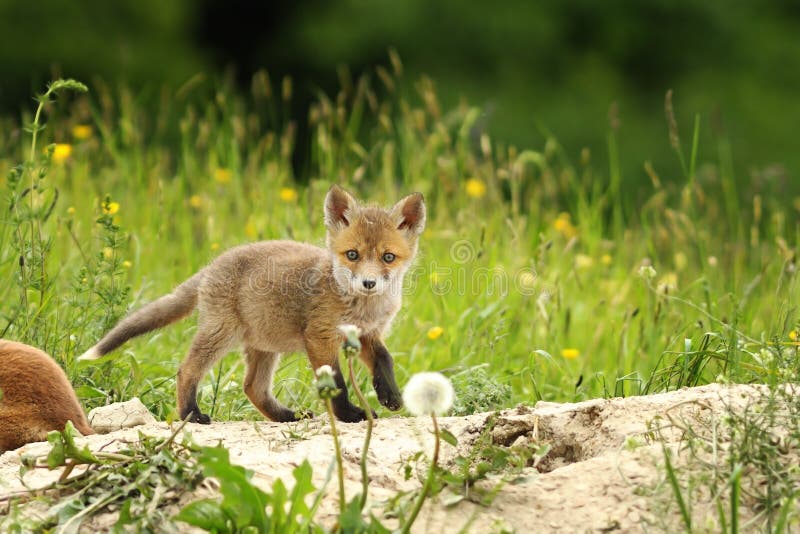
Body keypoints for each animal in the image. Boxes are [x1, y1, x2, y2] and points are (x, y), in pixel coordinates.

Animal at [79, 185, 425, 424]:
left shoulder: (367, 334)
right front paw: (350, 414)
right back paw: (192, 415)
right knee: (186, 370)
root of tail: (212, 264)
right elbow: (336, 383)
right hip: (221, 334)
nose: (369, 284)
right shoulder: (320, 336)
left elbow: (384, 359)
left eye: (388, 257)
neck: (363, 307)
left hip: (264, 346)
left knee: (252, 388)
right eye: (352, 254)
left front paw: (390, 395)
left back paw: (286, 417)